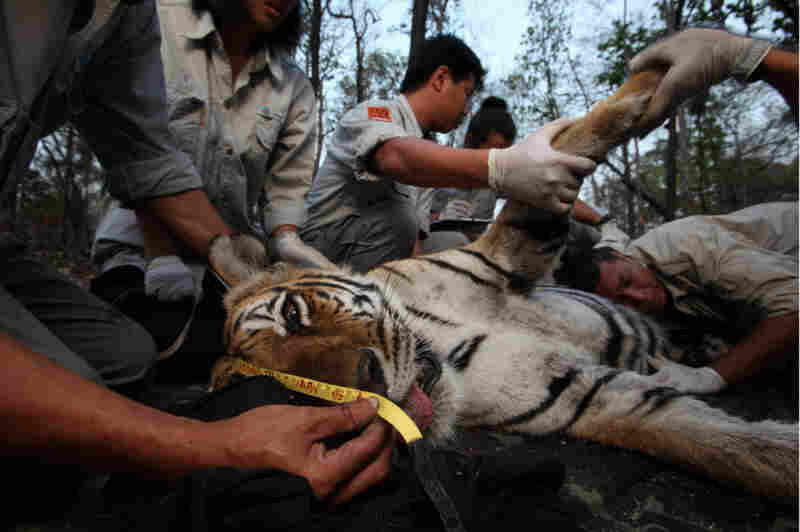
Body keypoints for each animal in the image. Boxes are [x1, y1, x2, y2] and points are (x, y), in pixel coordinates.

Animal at [206, 69, 798, 503]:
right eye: (291, 392)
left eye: (292, 314)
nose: (365, 383)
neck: (440, 338)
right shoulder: (593, 398)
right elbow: (727, 446)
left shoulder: (506, 252)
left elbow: (579, 136)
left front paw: (672, 66)